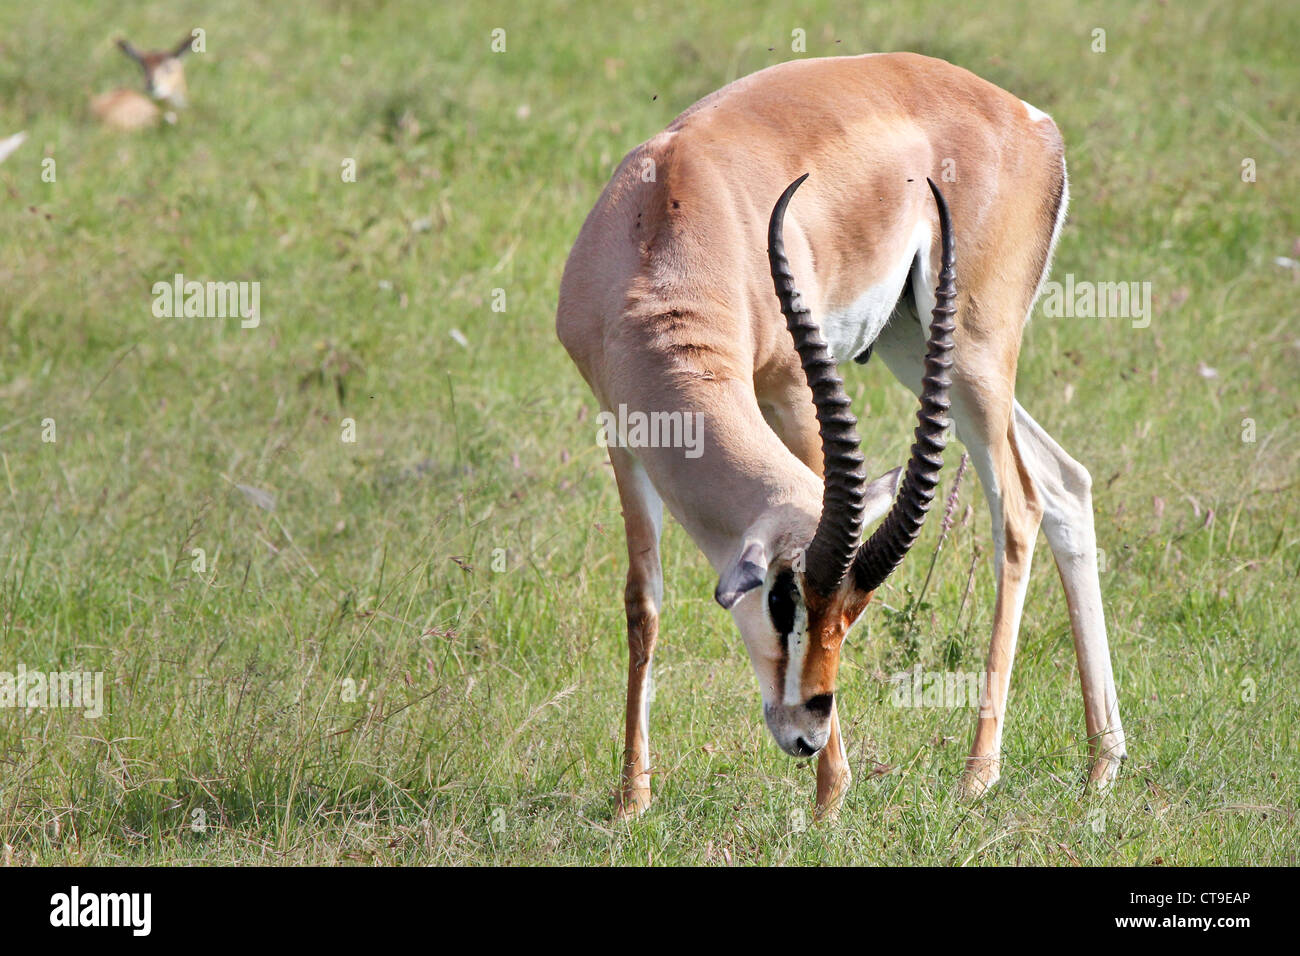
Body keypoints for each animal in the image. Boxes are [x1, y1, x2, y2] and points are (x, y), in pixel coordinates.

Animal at [557, 53, 1127, 818]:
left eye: (849, 615)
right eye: (783, 600)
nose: (805, 731)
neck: (666, 222)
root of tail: (1032, 120)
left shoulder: (793, 388)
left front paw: (831, 798)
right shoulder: (623, 428)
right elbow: (642, 599)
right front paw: (631, 801)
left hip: (976, 351)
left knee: (1021, 503)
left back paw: (978, 773)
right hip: (919, 346)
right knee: (1066, 482)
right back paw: (1102, 764)